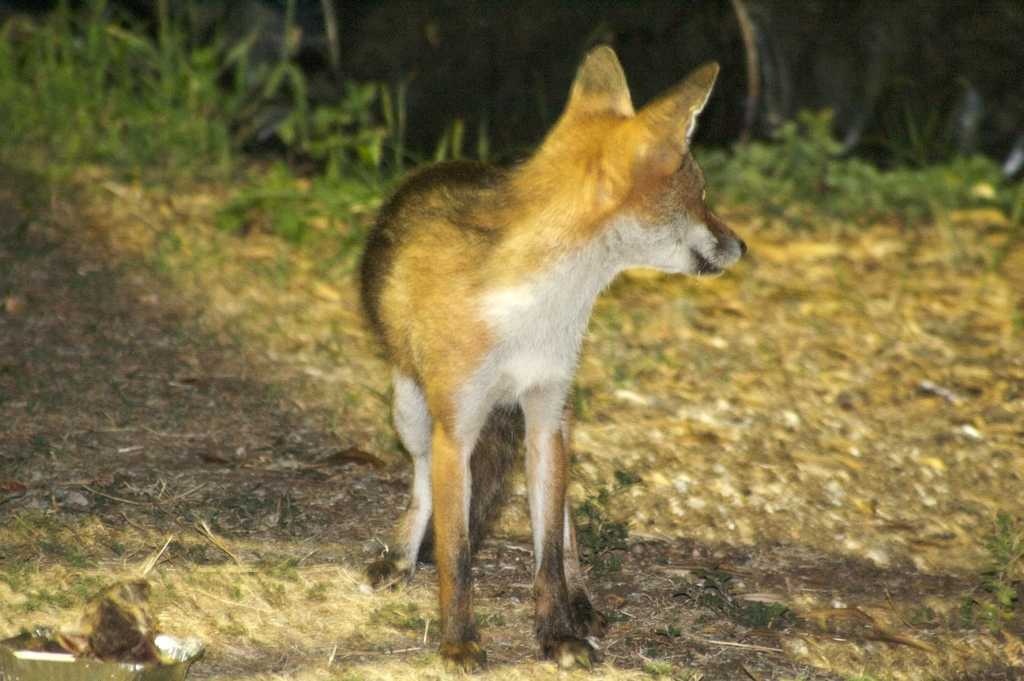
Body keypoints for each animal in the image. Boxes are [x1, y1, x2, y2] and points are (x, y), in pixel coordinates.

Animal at [359, 46, 745, 672]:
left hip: (557, 422)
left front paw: (558, 632)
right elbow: (456, 555)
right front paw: (459, 640)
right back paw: (399, 555)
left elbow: (547, 556)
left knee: (564, 527)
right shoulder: (456, 429)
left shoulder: (543, 412)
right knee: (420, 488)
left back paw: (580, 599)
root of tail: (444, 166)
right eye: (703, 195)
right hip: (411, 411)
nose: (742, 246)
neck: (533, 314)